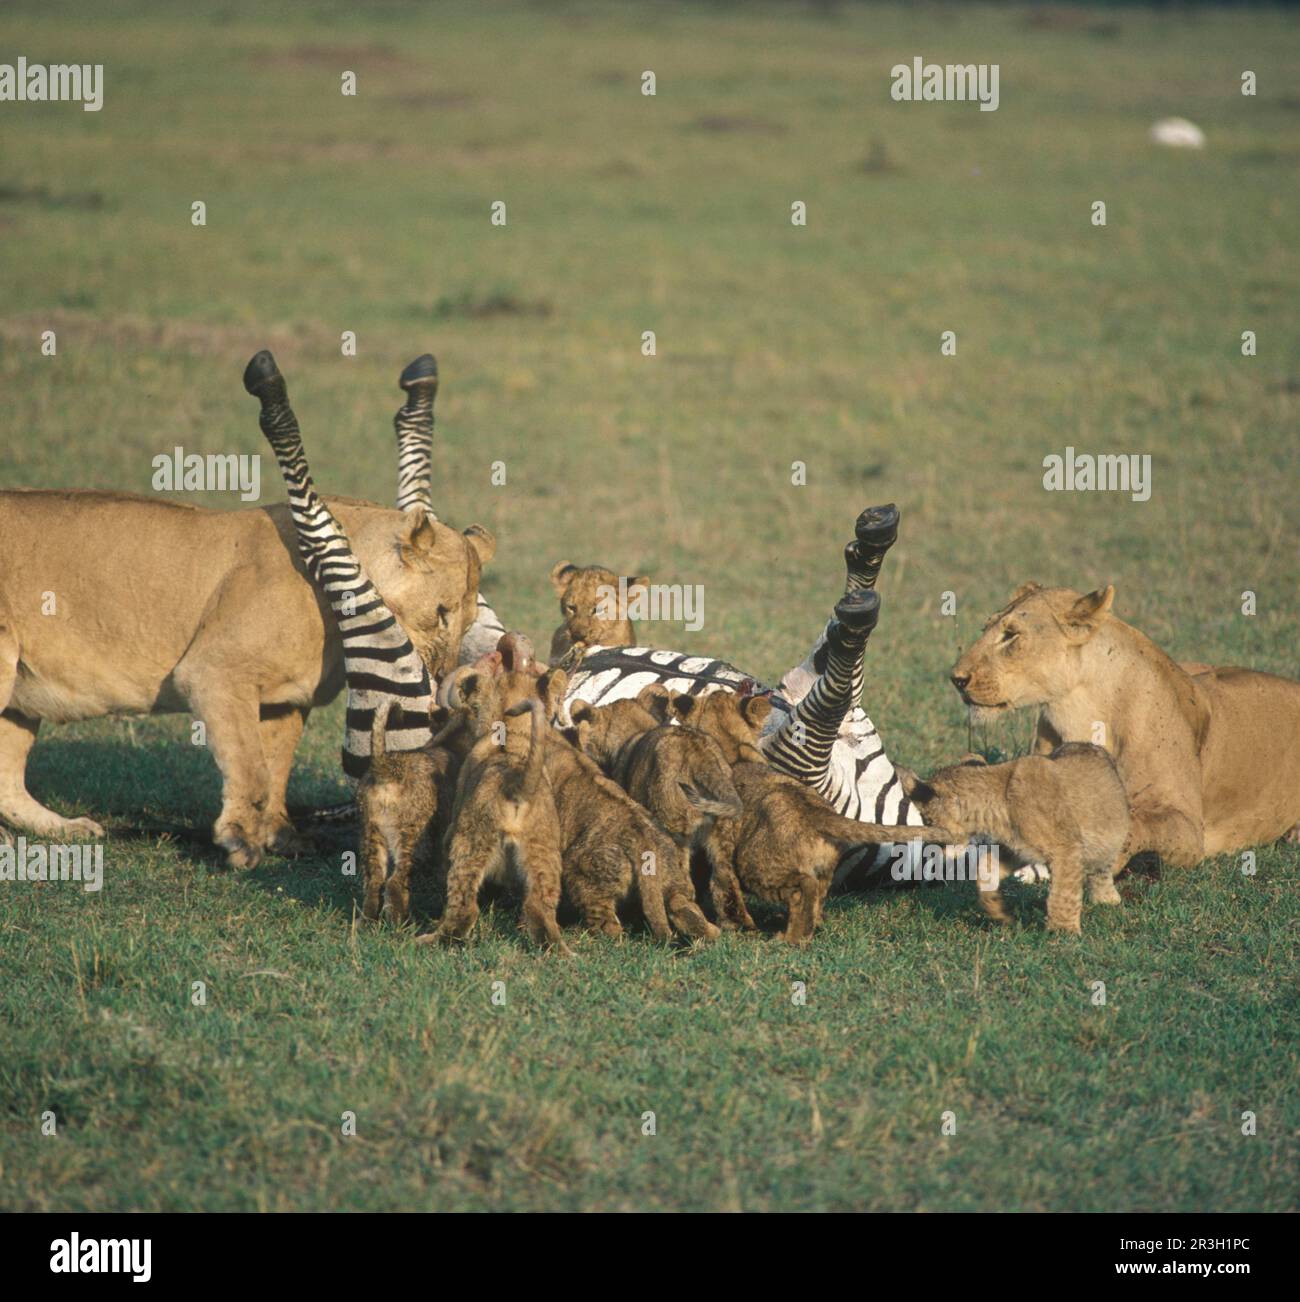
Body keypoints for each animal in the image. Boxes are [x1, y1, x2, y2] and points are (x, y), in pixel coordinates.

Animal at [950, 583, 1300, 867]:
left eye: (1011, 635)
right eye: (985, 628)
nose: (956, 679)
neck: (1079, 712)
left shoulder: (1190, 828)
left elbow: (1136, 821)